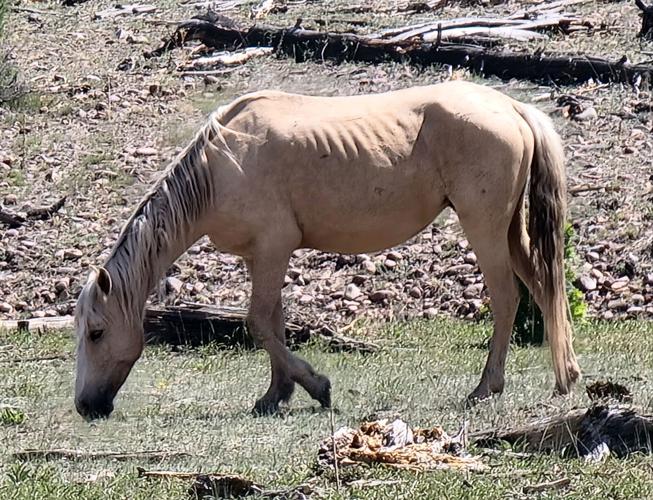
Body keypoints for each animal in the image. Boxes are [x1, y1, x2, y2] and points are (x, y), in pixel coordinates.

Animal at [74, 80, 581, 419]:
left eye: (96, 333)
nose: (85, 406)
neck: (221, 166)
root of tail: (511, 106)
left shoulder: (273, 250)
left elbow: (258, 324)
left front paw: (316, 387)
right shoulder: (262, 257)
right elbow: (274, 324)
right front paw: (276, 395)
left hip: (485, 228)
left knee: (507, 299)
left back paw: (486, 387)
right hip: (509, 232)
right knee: (544, 287)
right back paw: (567, 377)